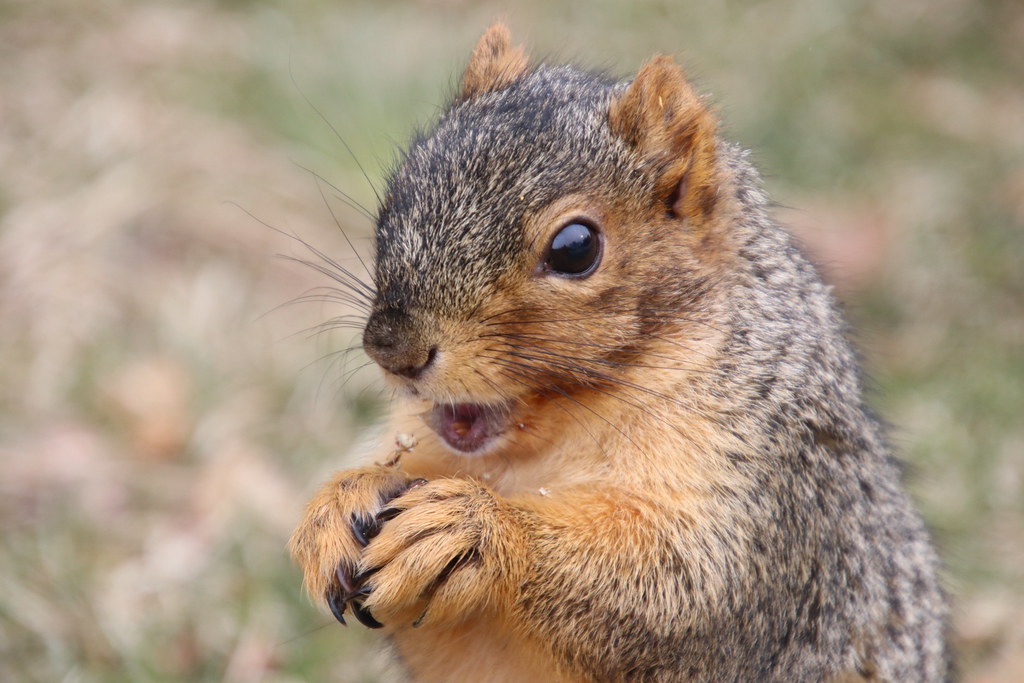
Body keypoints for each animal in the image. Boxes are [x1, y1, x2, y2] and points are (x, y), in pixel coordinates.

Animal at [289, 24, 953, 682]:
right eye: (393, 200)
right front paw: (343, 500)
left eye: (576, 247)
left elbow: (684, 594)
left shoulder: (775, 494)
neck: (532, 457)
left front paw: (475, 529)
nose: (391, 349)